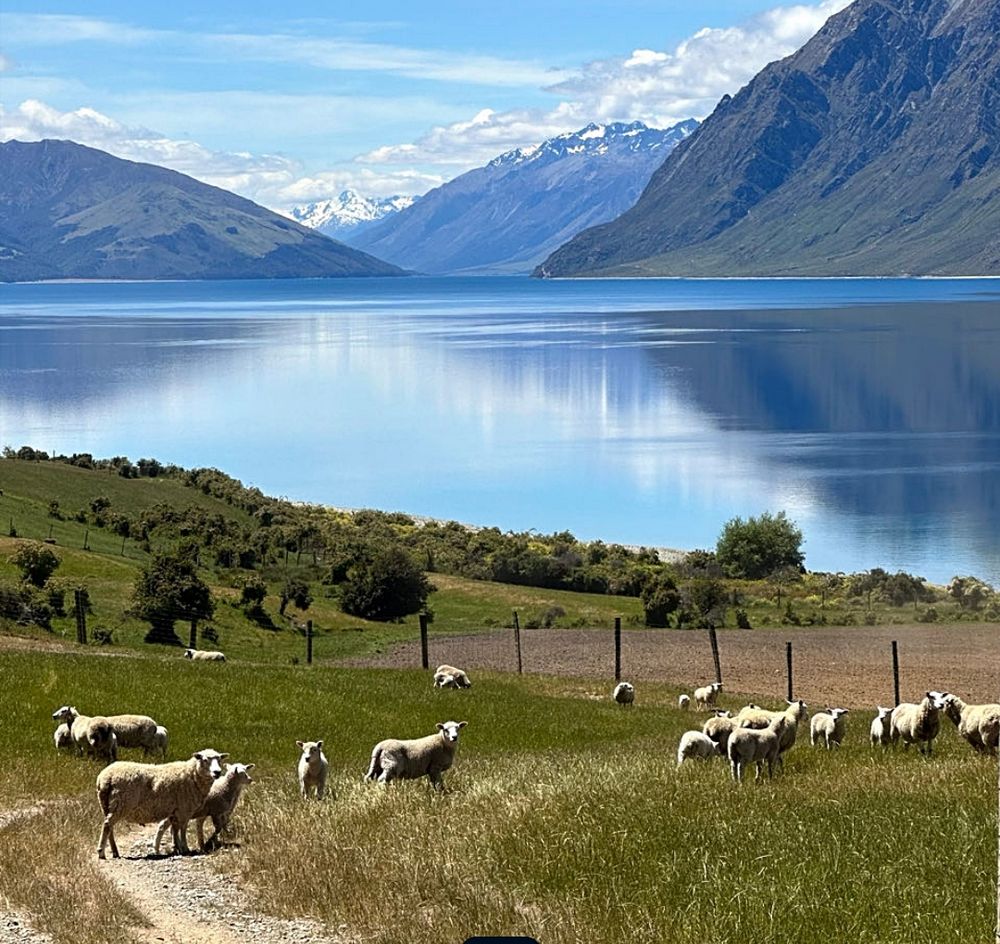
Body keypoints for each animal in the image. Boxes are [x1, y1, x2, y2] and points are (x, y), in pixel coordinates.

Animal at [96, 748, 228, 859]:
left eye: (219, 760)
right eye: (205, 760)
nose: (217, 772)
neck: (192, 775)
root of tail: (105, 778)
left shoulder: (175, 811)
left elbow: (175, 829)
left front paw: (176, 848)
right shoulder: (184, 809)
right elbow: (183, 829)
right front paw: (185, 848)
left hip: (106, 805)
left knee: (109, 827)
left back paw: (115, 852)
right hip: (121, 803)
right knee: (107, 825)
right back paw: (101, 852)